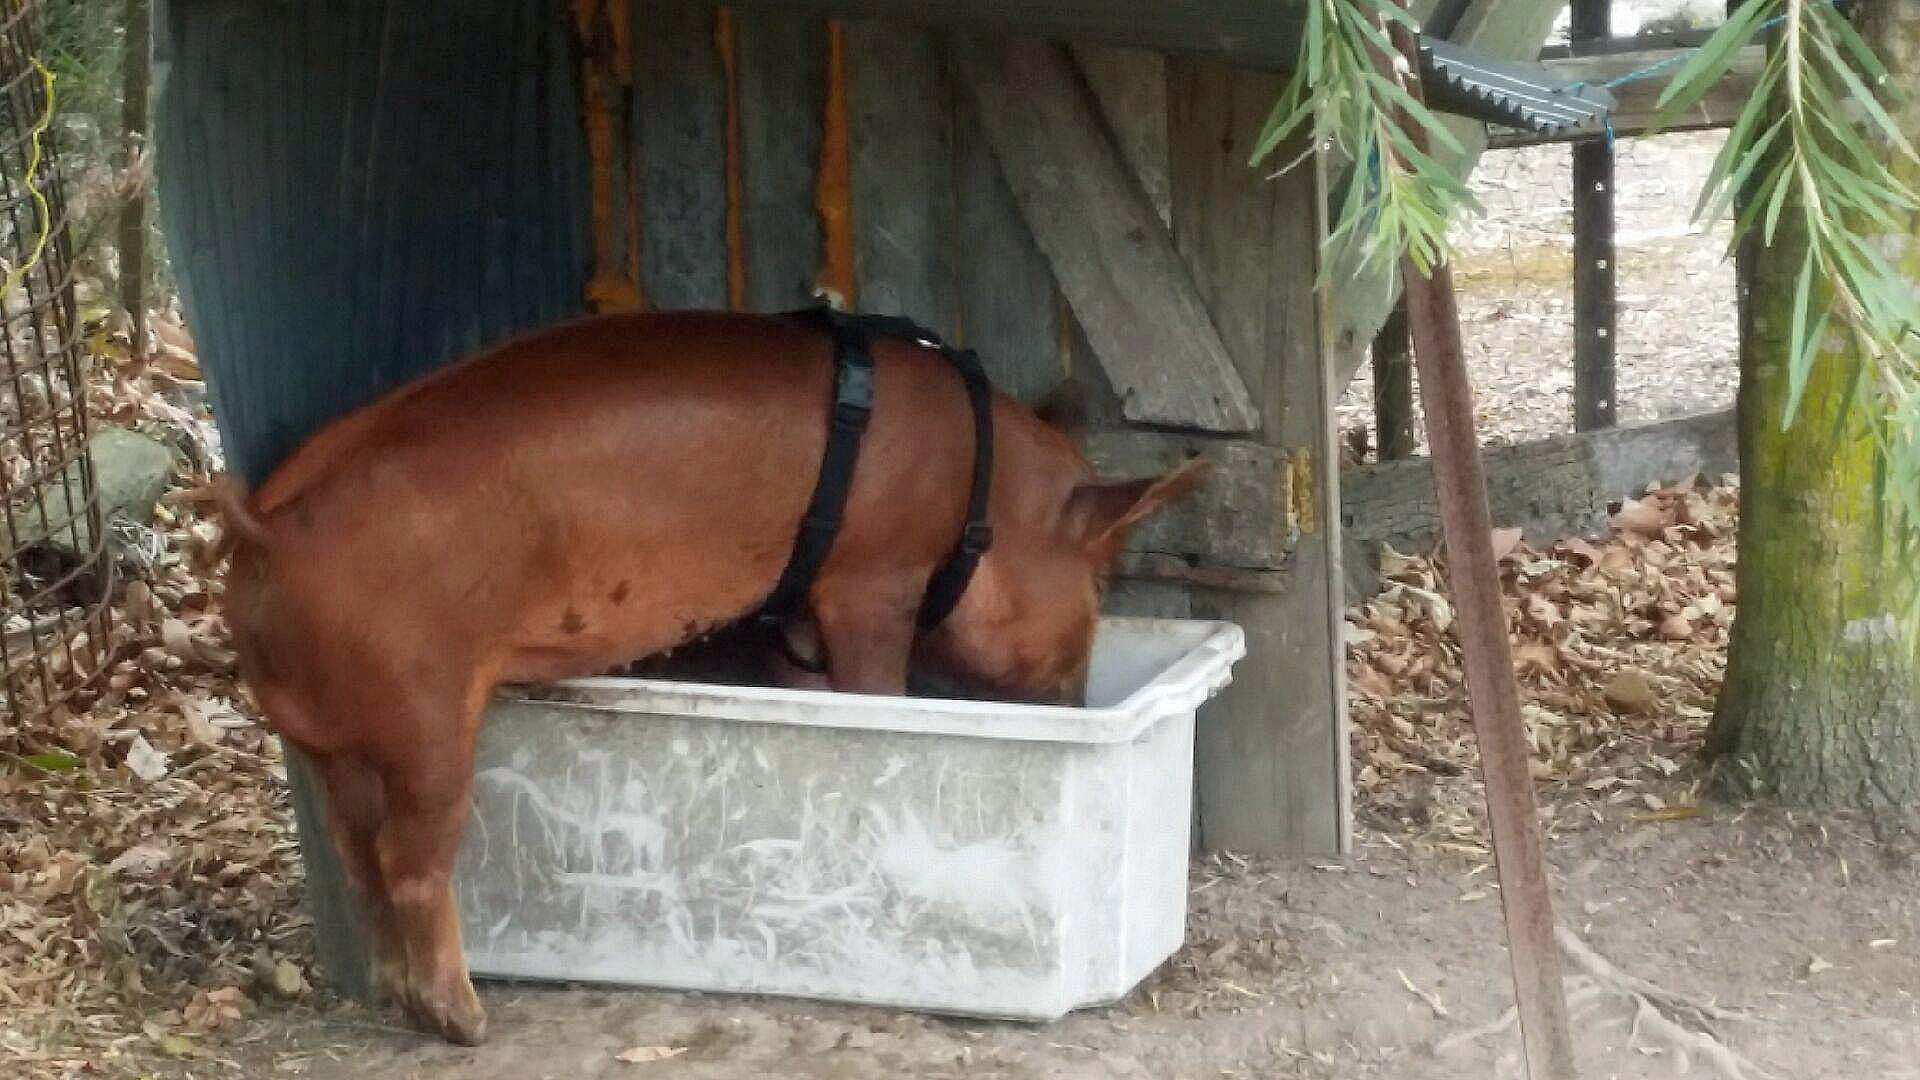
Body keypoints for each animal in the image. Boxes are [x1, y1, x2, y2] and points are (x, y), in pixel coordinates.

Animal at [214, 310, 1203, 1044]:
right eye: (1098, 585)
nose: (1075, 698)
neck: (977, 496)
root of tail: (273, 529)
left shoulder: (799, 610)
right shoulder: (873, 577)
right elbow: (875, 686)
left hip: (326, 735)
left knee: (355, 851)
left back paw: (395, 996)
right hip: (424, 716)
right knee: (409, 862)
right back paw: (466, 1023)